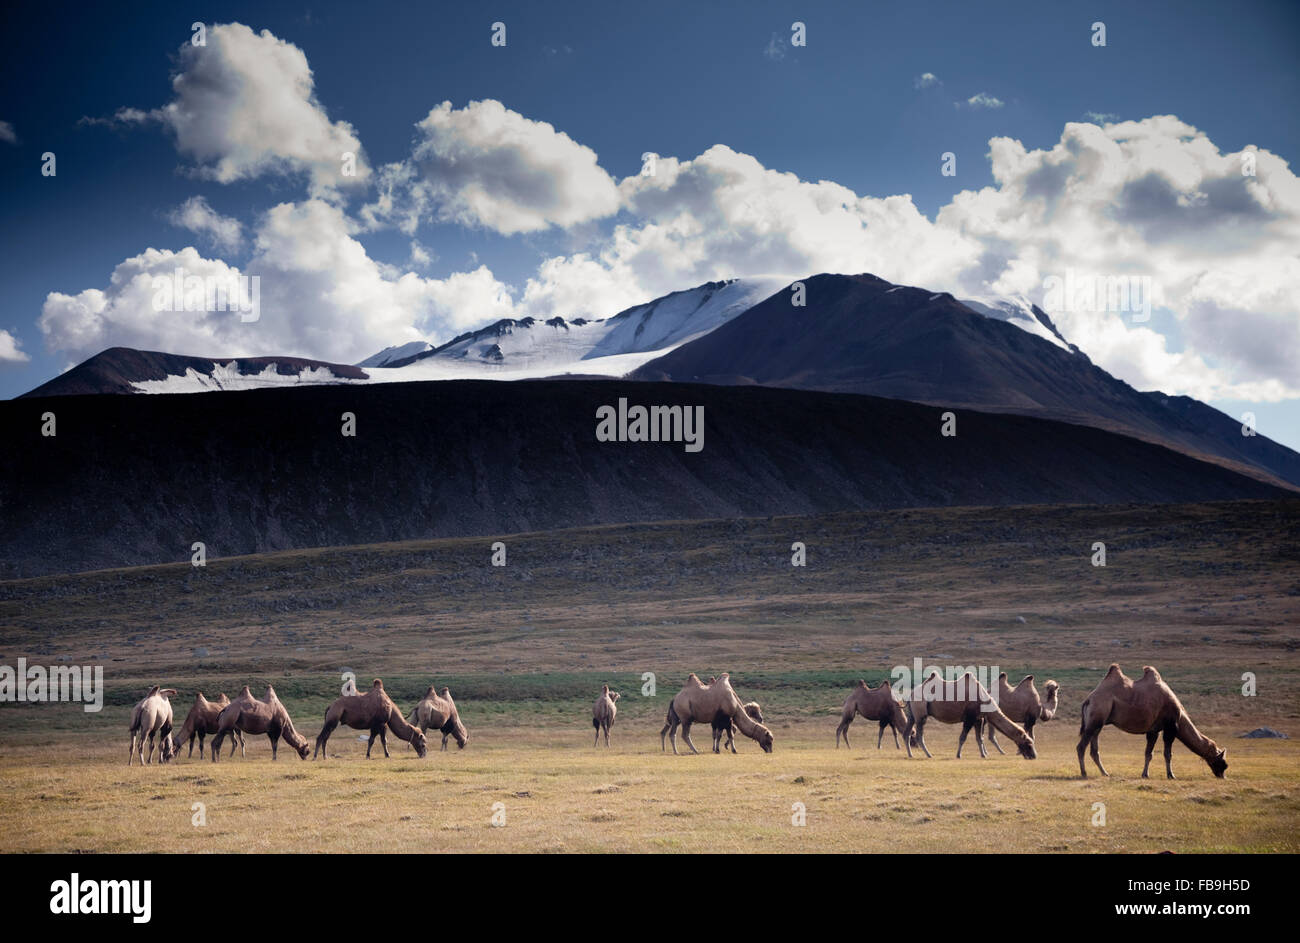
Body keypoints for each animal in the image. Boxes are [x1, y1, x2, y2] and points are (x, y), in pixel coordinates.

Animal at [904, 672, 1036, 760]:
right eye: (1028, 744)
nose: (1034, 756)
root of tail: (910, 694)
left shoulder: (978, 719)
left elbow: (980, 738)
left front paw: (983, 755)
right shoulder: (970, 717)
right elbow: (963, 737)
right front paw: (958, 755)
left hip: (912, 714)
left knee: (907, 733)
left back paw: (910, 754)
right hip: (921, 714)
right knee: (920, 735)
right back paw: (929, 754)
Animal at [1076, 664, 1227, 779]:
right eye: (1223, 763)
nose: (1222, 776)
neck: (1180, 716)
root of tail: (1088, 700)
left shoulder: (1154, 730)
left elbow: (1149, 753)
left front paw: (1145, 774)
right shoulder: (1170, 727)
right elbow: (1167, 754)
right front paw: (1171, 775)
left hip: (1098, 724)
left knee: (1094, 750)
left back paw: (1105, 773)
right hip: (1095, 718)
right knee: (1081, 747)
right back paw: (1084, 773)